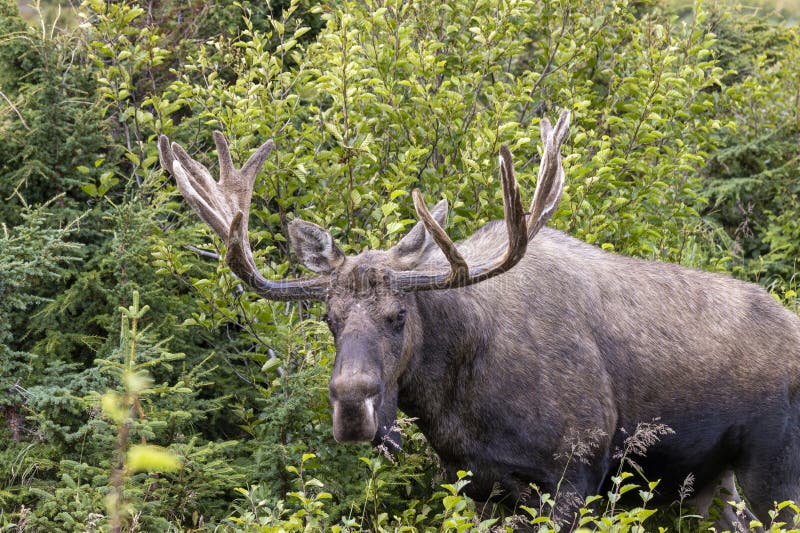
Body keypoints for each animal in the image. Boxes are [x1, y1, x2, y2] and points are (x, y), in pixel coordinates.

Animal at [158, 111, 800, 528]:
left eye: (397, 315)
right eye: (328, 318)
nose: (351, 405)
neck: (459, 400)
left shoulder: (577, 474)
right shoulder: (473, 481)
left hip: (775, 470)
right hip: (712, 485)